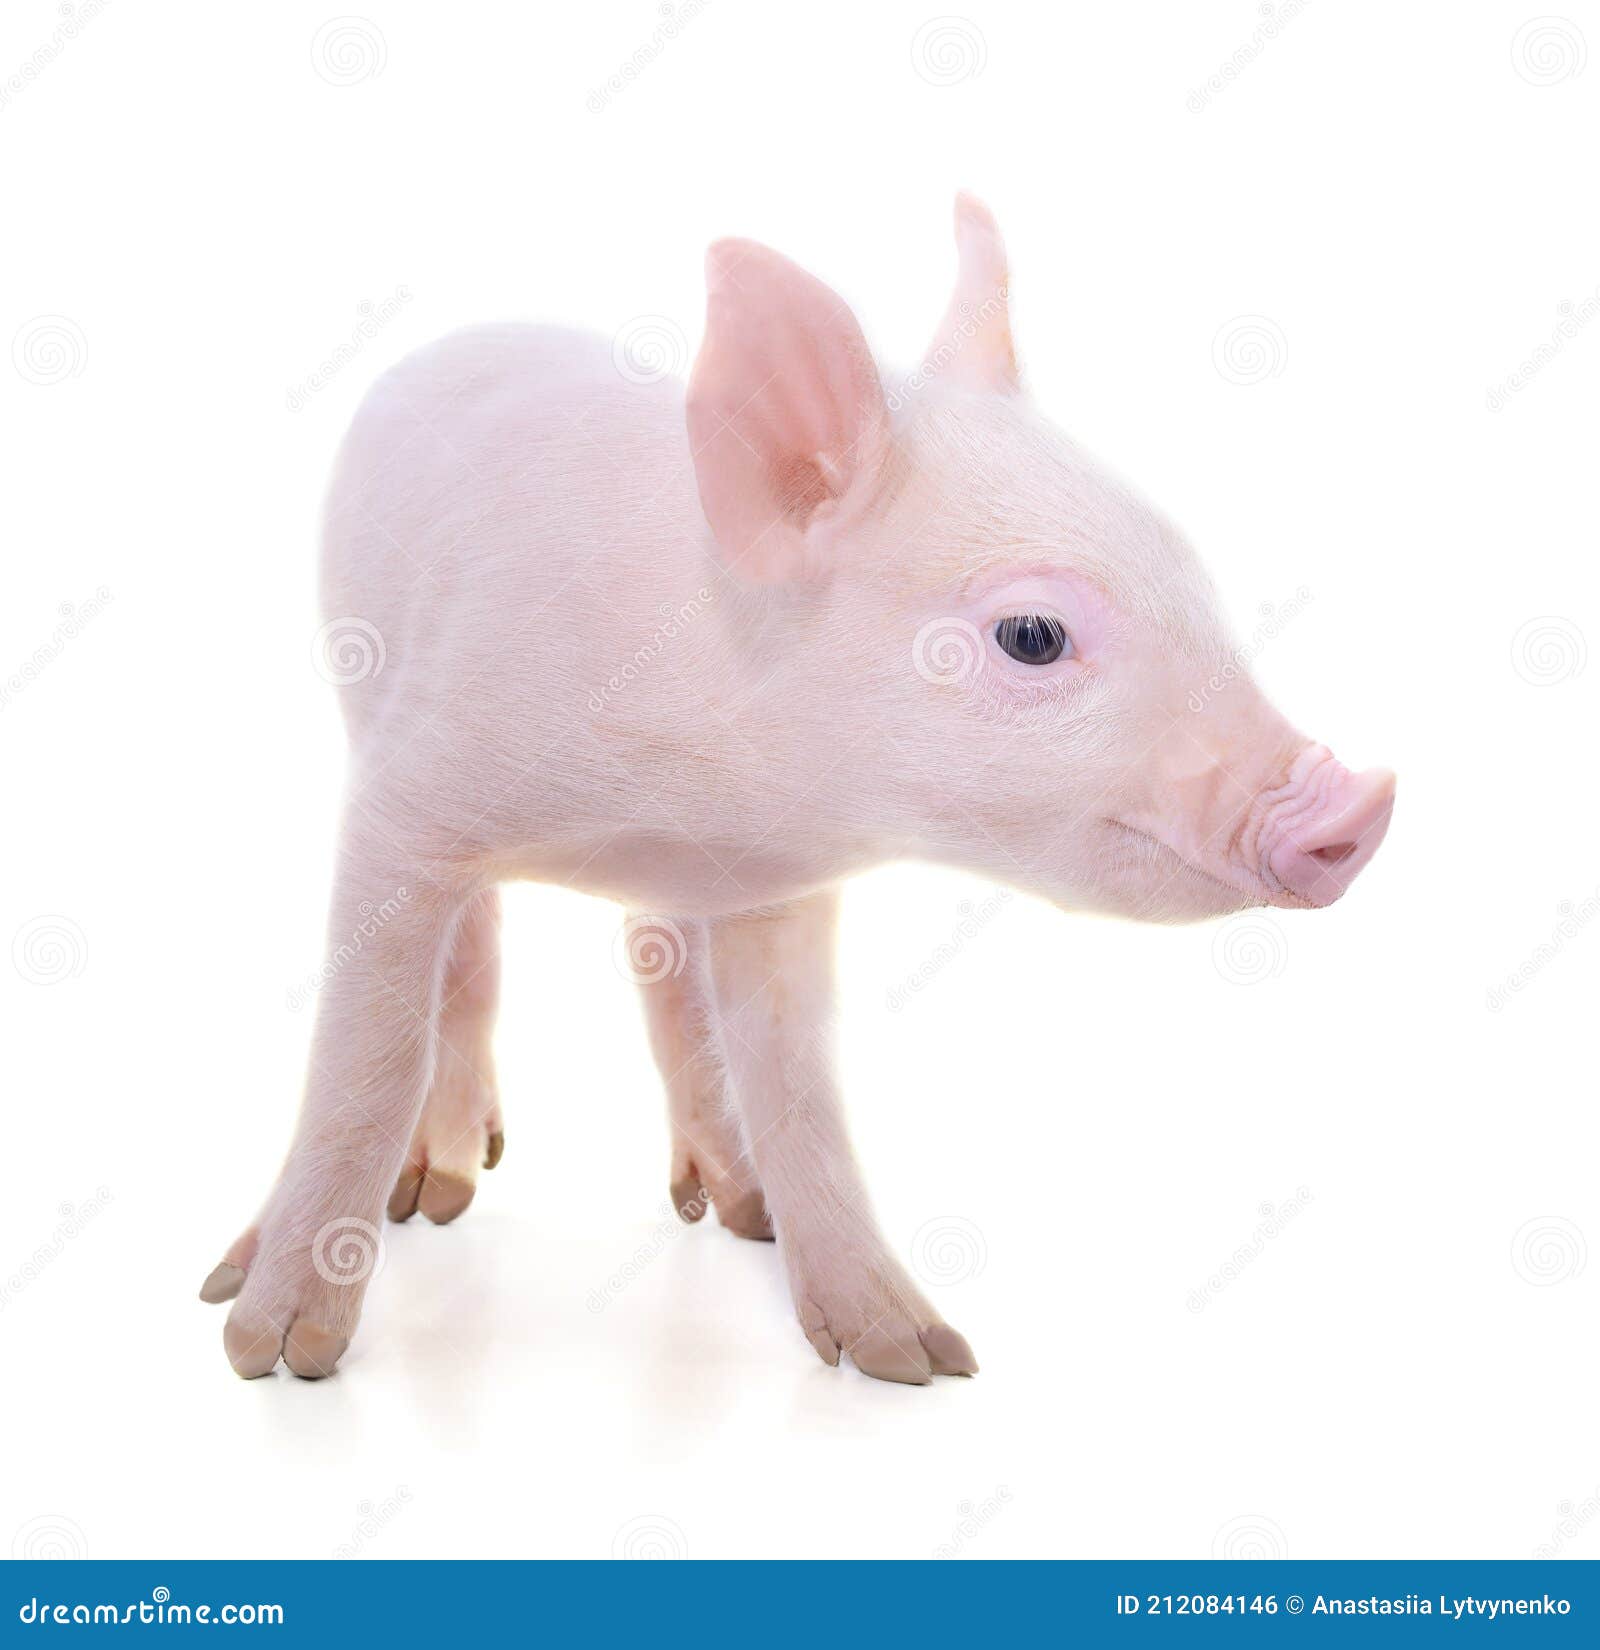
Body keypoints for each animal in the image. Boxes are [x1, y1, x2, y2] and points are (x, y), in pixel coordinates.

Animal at [199, 196, 1395, 1384]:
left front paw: (916, 1356)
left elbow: (799, 1087)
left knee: (659, 967)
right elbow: (370, 1054)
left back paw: (727, 1207)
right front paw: (267, 1342)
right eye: (1032, 635)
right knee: (479, 952)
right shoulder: (407, 795)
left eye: (1195, 578)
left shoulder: (776, 888)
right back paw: (441, 1192)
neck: (689, 794)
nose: (1359, 803)